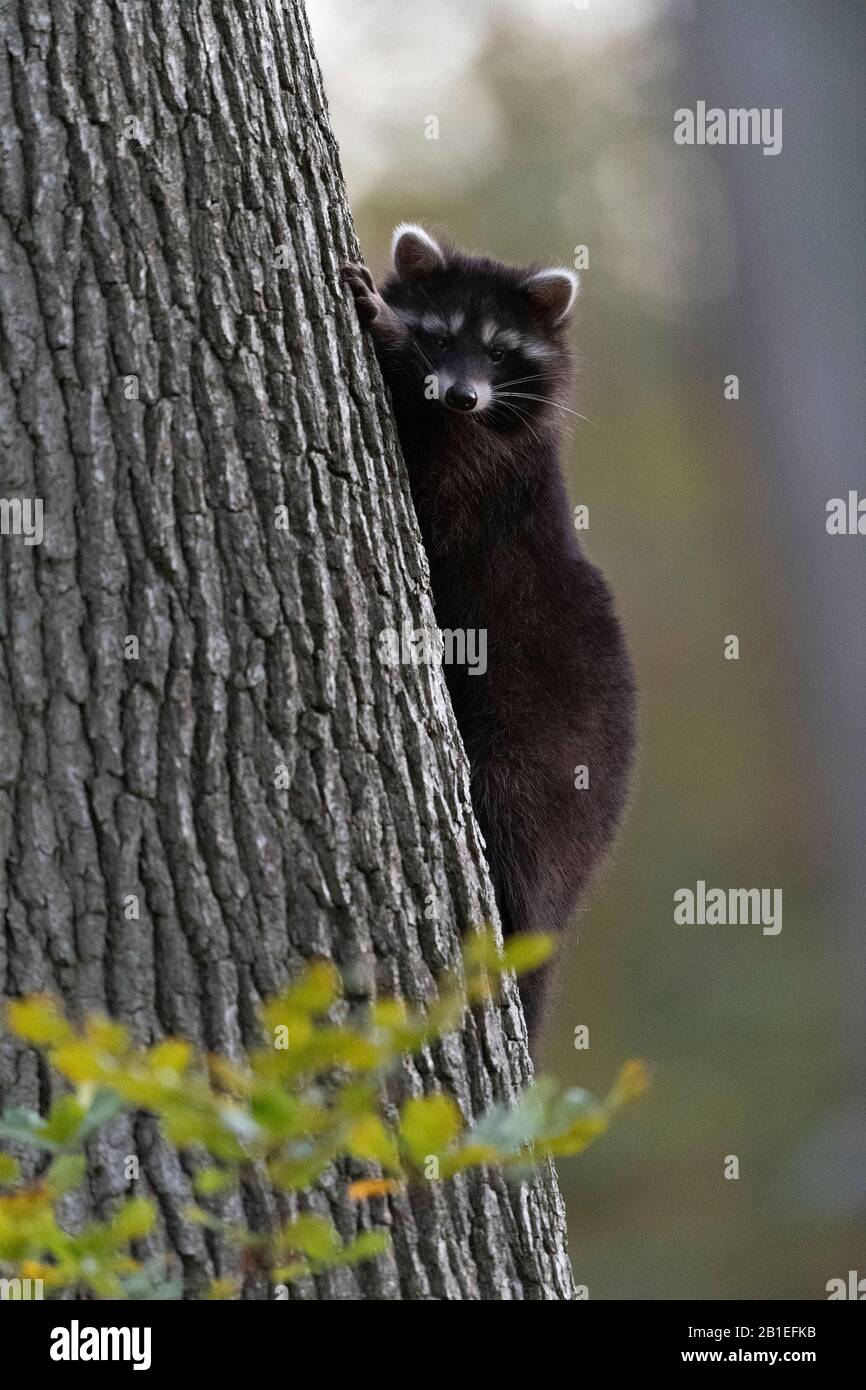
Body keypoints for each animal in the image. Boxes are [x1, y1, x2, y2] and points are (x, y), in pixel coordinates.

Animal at [342, 226, 636, 1041]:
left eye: (502, 353)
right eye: (444, 336)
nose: (461, 393)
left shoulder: (488, 477)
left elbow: (437, 489)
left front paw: (386, 333)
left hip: (547, 759)